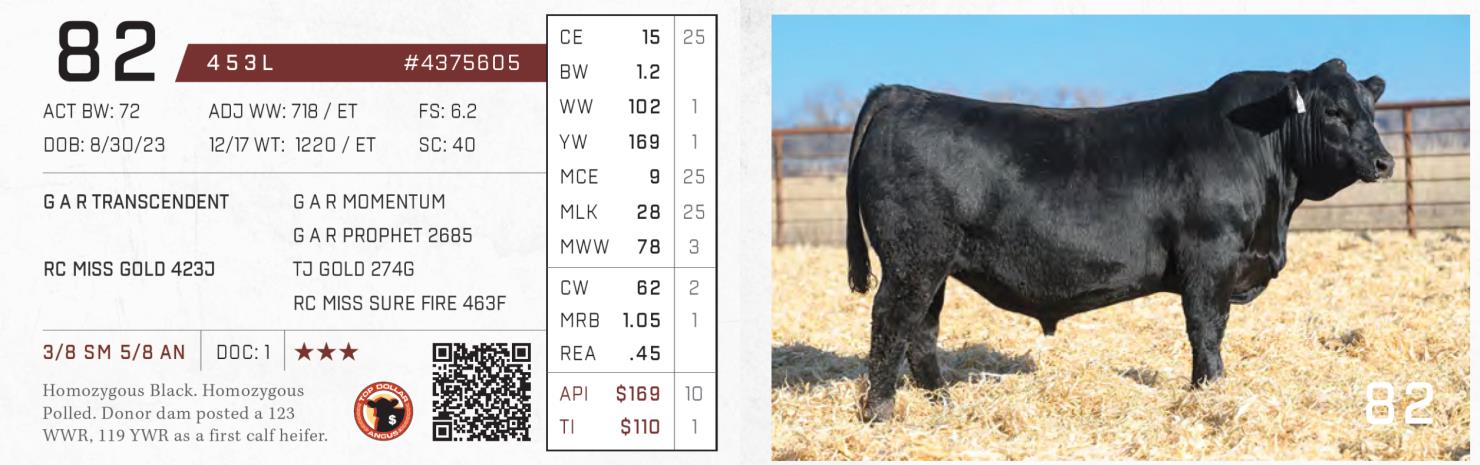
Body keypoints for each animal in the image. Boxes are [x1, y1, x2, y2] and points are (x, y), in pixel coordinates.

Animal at [845, 59, 1391, 422]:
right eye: (1333, 111)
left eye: (1371, 109)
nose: (1384, 161)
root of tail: (902, 93)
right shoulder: (1211, 259)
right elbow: (1207, 329)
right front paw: (1210, 390)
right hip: (914, 259)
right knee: (892, 320)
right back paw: (881, 411)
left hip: (932, 263)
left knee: (922, 330)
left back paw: (943, 403)